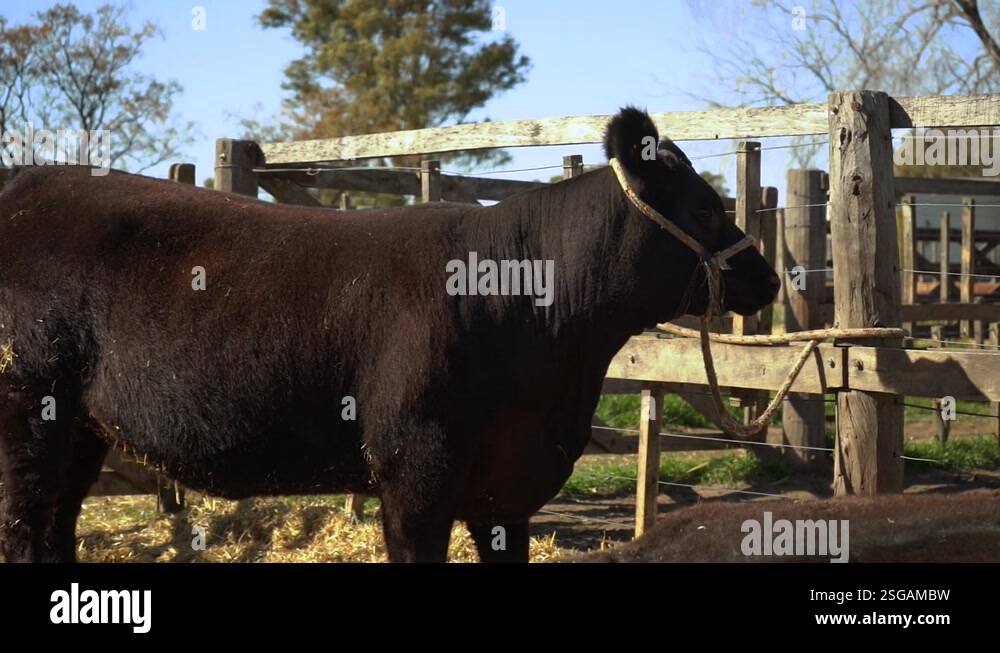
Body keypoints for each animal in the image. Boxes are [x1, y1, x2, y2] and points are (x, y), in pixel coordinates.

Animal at [0, 107, 779, 563]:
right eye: (705, 209)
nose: (769, 279)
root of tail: (23, 185)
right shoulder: (416, 473)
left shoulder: (508, 492)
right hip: (27, 404)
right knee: (24, 526)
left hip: (81, 424)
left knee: (56, 525)